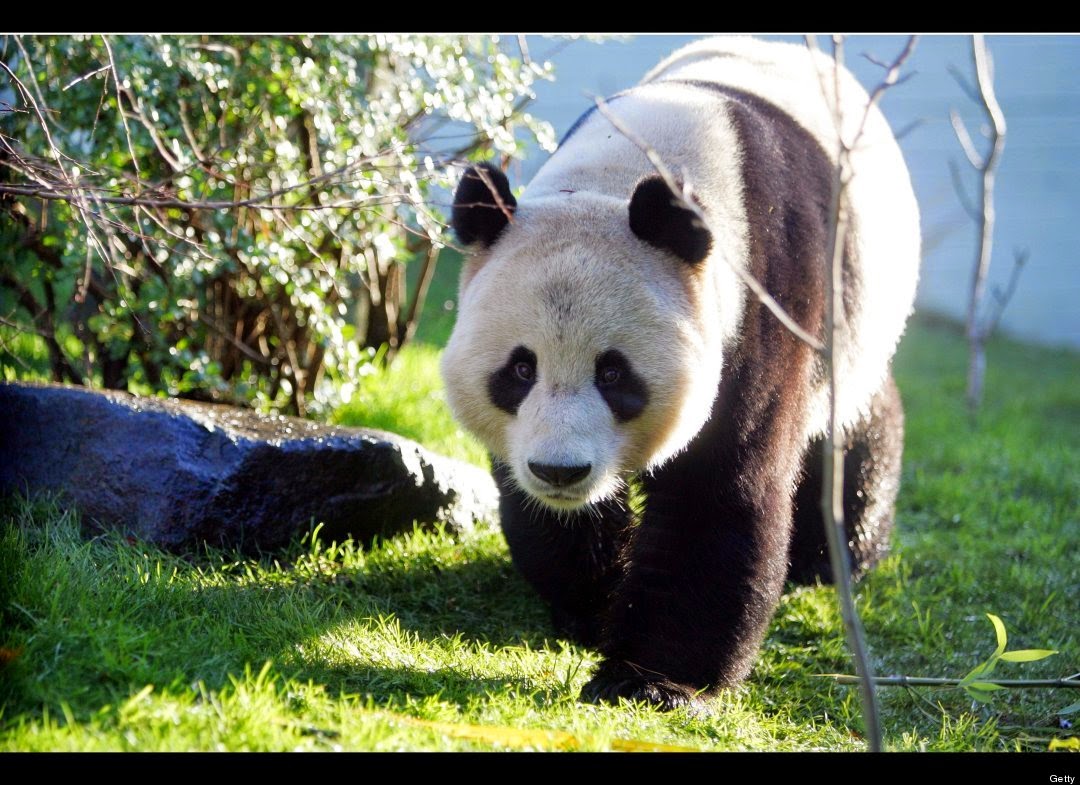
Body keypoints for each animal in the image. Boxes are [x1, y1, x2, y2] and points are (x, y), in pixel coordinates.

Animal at [441, 36, 920, 711]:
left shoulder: (762, 303)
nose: (560, 471)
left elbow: (717, 491)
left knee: (849, 427)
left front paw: (646, 679)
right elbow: (548, 508)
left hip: (857, 314)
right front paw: (594, 602)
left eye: (614, 375)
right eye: (519, 368)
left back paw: (833, 556)